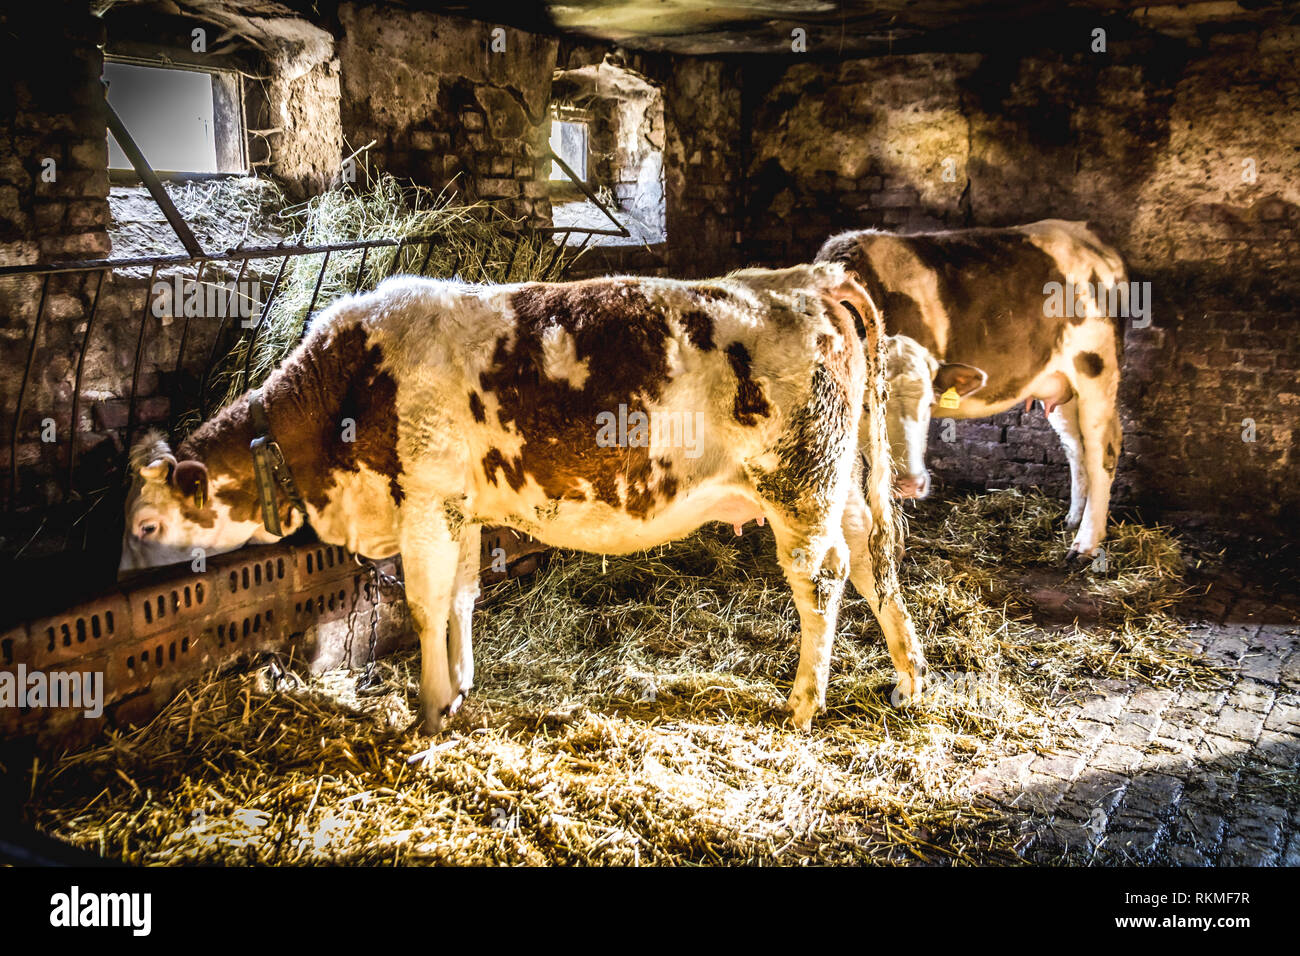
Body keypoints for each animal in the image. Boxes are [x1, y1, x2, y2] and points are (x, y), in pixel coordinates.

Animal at [120, 265, 927, 733]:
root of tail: (810, 276)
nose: (123, 585)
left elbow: (423, 605)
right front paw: (460, 688)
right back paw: (909, 679)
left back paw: (804, 703)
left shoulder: (424, 505)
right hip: (837, 483)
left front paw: (428, 713)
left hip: (798, 486)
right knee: (871, 554)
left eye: (148, 525)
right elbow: (461, 597)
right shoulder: (461, 509)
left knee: (822, 580)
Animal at [817, 220, 1128, 560]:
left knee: (1103, 452)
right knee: (1075, 447)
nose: (910, 484)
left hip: (1096, 367)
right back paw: (1072, 518)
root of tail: (1088, 236)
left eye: (930, 405)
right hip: (1062, 384)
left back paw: (1085, 543)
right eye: (867, 404)